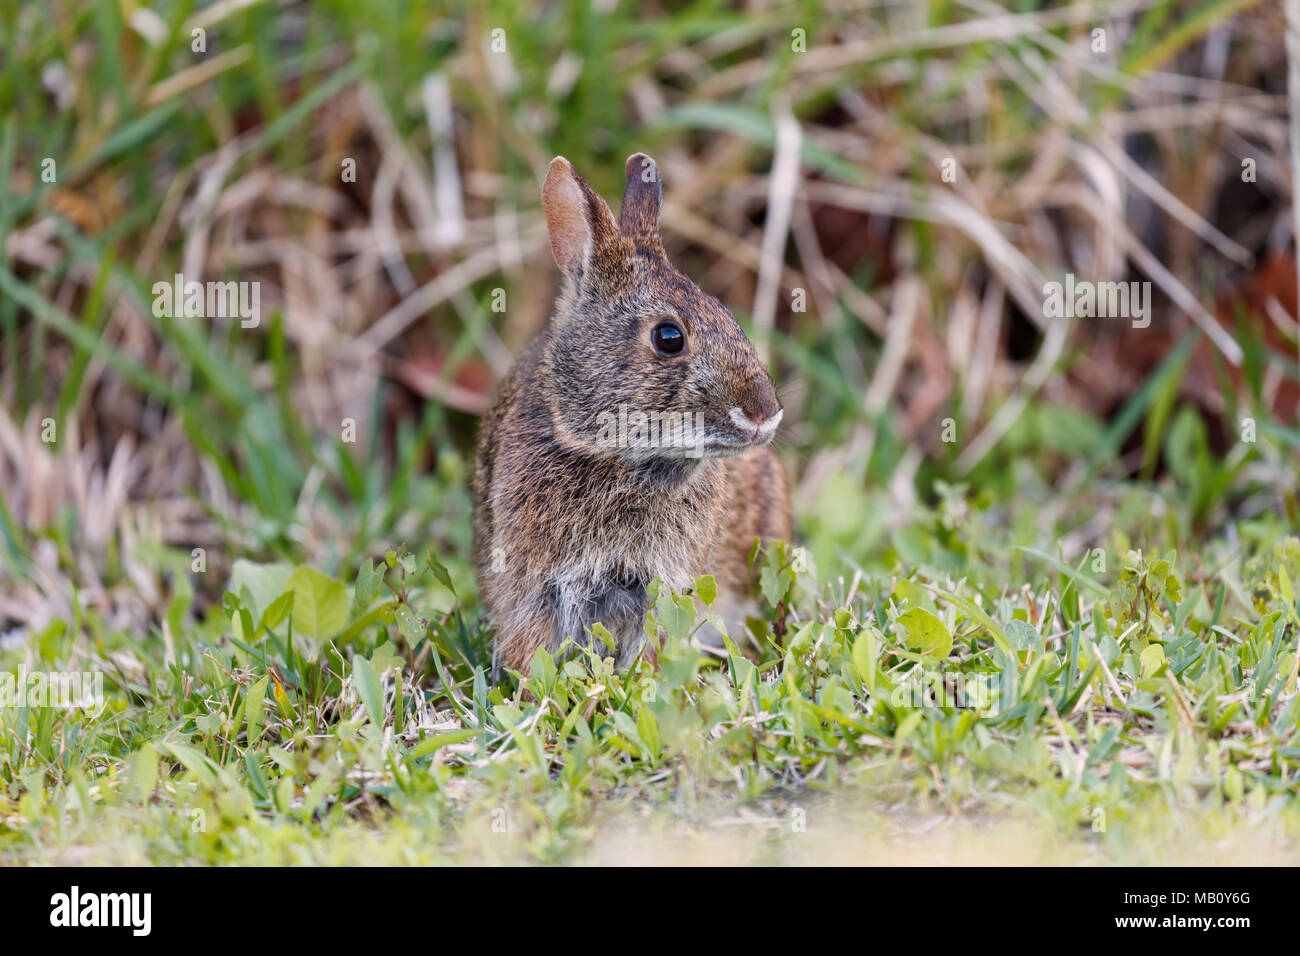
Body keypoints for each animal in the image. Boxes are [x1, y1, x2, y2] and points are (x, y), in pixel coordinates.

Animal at [473, 151, 791, 675]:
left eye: (727, 314)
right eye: (669, 337)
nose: (764, 414)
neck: (617, 460)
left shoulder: (665, 587)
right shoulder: (530, 587)